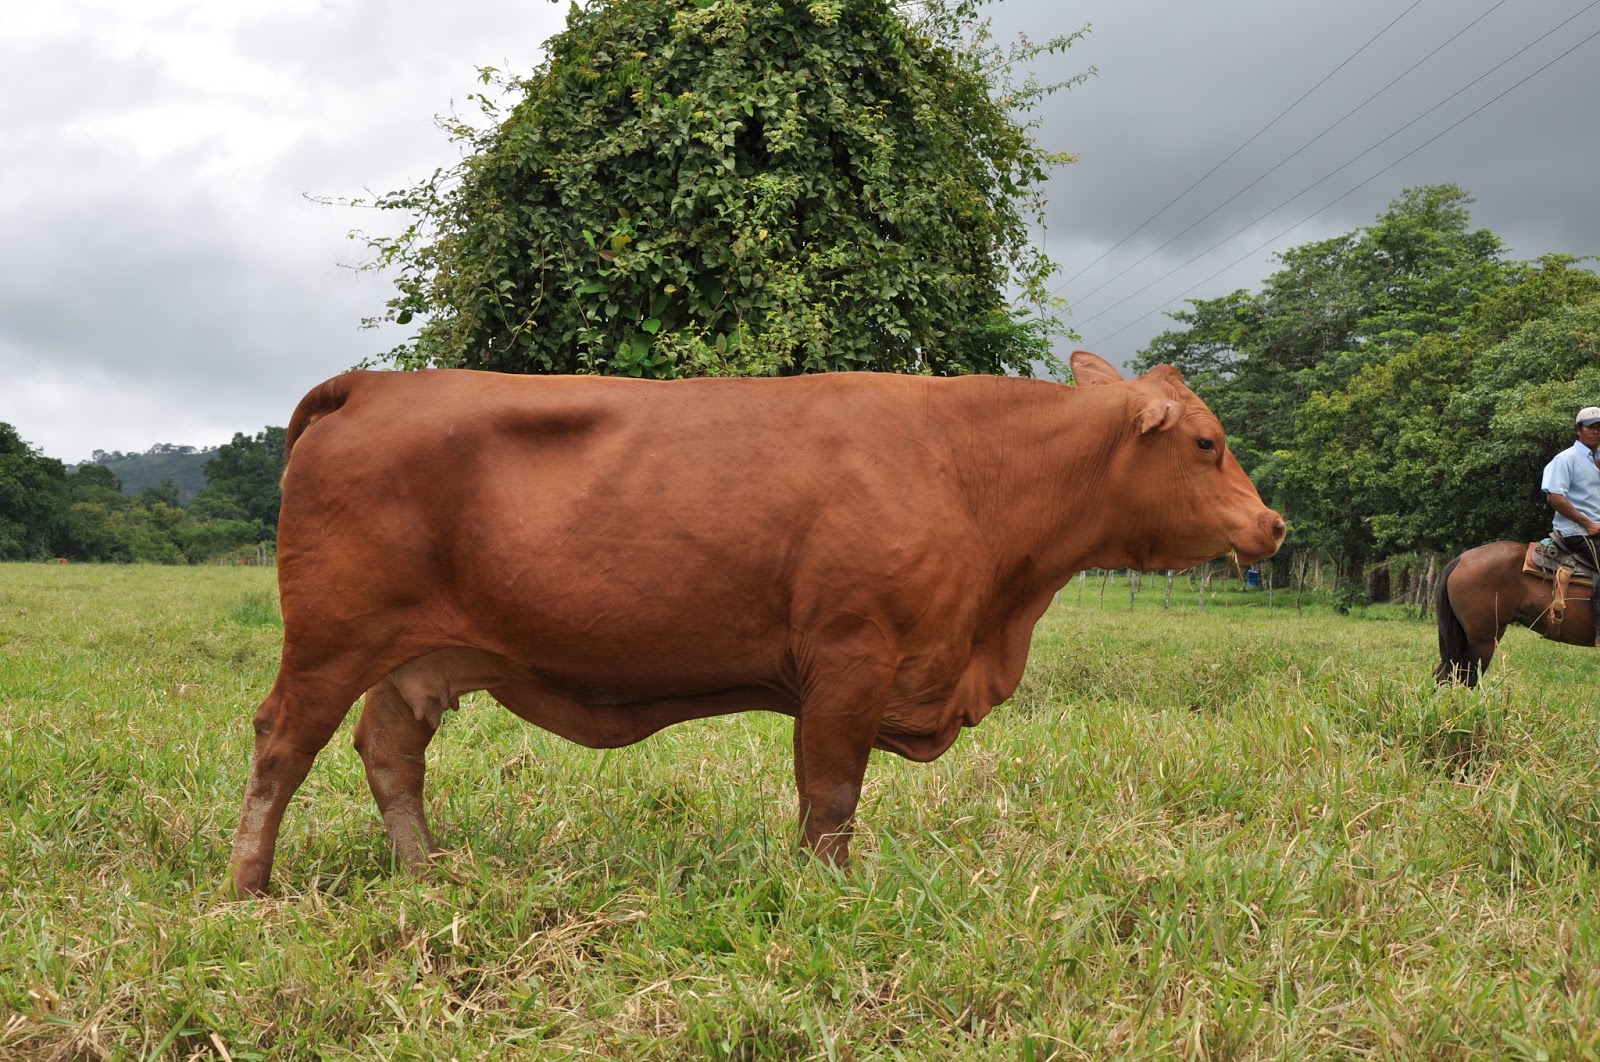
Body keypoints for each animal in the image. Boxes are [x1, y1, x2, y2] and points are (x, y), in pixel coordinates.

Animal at [228, 351, 1283, 896]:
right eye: (1207, 442)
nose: (1271, 524)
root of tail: (378, 379)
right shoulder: (854, 658)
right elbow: (832, 793)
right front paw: (827, 893)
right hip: (331, 640)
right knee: (283, 743)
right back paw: (250, 886)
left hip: (413, 657)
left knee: (387, 752)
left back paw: (430, 874)